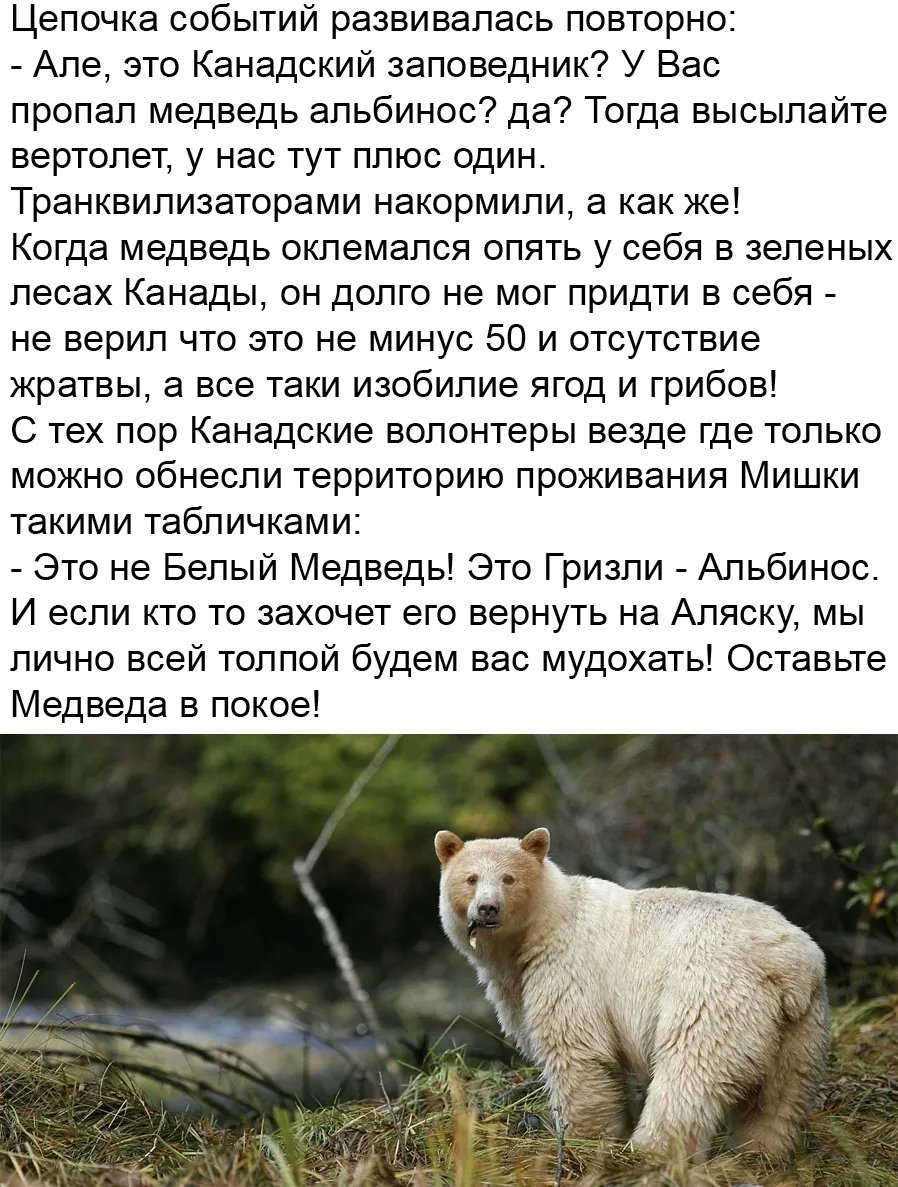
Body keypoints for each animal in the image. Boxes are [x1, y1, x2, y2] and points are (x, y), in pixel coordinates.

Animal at [435, 827, 829, 1159]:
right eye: (471, 878)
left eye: (509, 878)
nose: (487, 908)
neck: (542, 926)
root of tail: (789, 964)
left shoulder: (569, 968)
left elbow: (577, 1050)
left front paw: (582, 1138)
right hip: (800, 1024)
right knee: (780, 1094)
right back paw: (760, 1151)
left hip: (712, 994)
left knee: (690, 1072)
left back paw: (651, 1149)